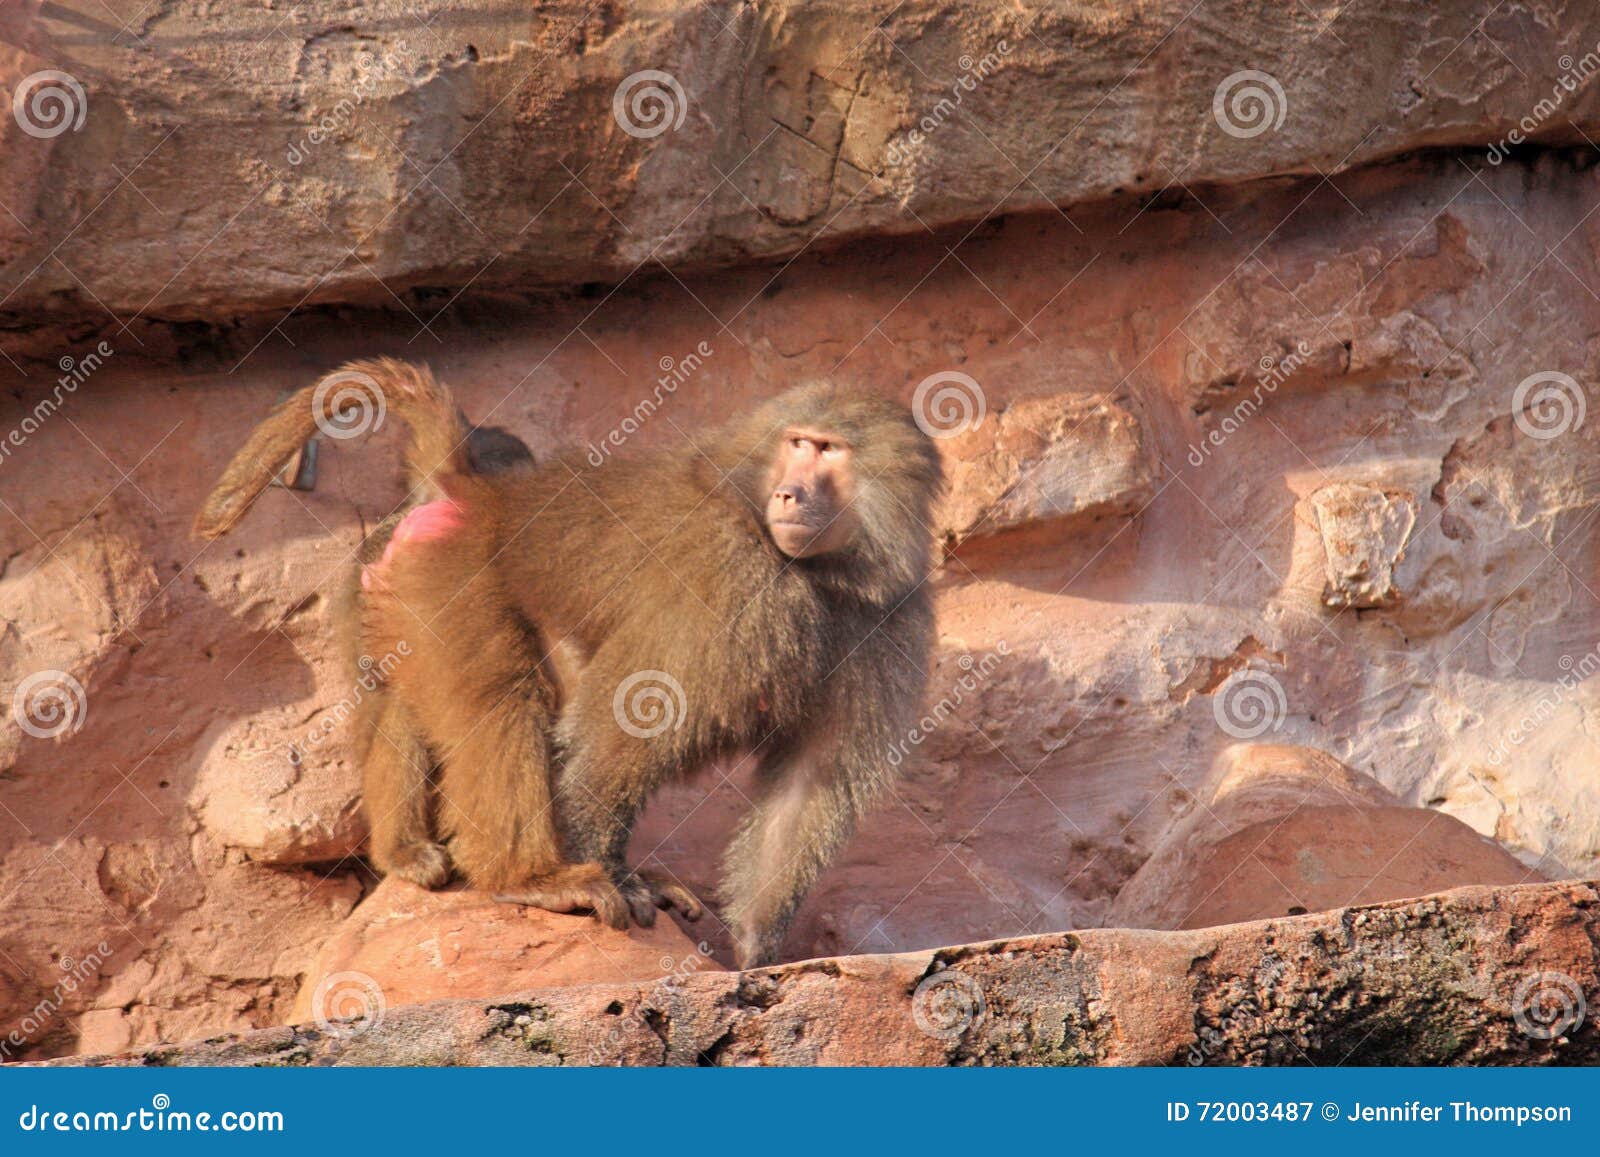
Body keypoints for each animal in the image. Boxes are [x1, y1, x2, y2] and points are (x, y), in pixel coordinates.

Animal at [195, 358, 943, 968]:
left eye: (830, 450)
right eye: (797, 443)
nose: (789, 495)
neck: (818, 573)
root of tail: (479, 493)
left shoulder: (887, 620)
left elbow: (810, 783)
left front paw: (756, 953)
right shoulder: (730, 579)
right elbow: (627, 724)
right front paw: (607, 875)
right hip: (449, 580)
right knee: (501, 699)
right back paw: (526, 879)